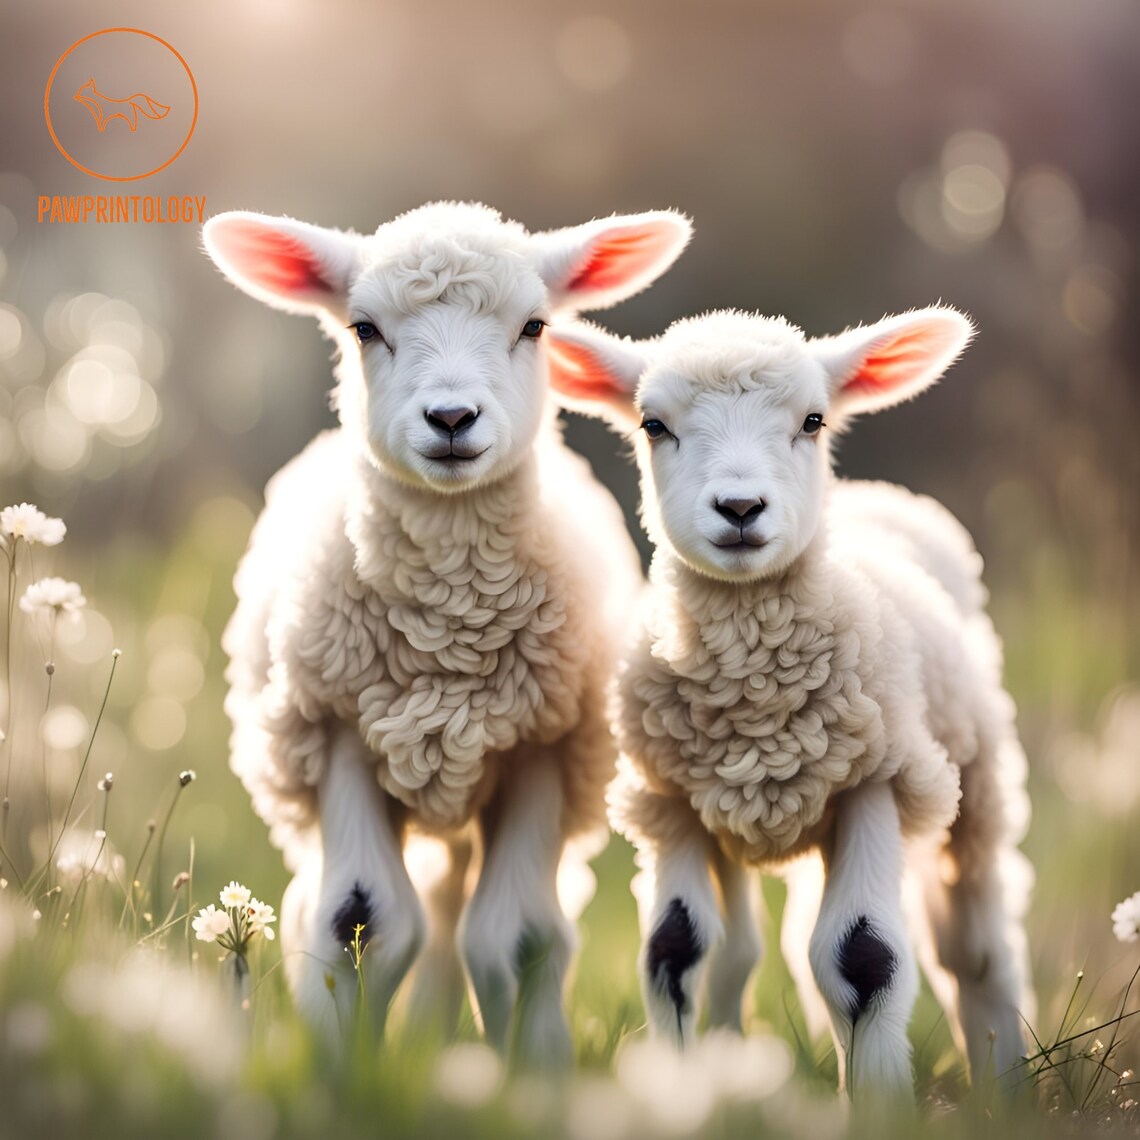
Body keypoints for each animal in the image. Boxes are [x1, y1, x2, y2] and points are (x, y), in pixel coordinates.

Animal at [200, 200, 692, 1065]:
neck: (448, 636)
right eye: (364, 328)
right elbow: (358, 918)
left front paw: (530, 1072)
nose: (453, 418)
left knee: (451, 911)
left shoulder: (544, 743)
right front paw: (346, 1067)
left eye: (534, 326)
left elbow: (515, 935)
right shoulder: (338, 730)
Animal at [543, 307, 1033, 1098]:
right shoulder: (669, 800)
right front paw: (682, 1087)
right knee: (742, 951)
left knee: (976, 950)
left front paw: (877, 1102)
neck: (756, 701)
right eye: (653, 425)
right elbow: (675, 950)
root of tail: (878, 496)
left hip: (976, 783)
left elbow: (863, 956)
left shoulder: (878, 780)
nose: (740, 507)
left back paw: (1006, 1083)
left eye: (813, 420)